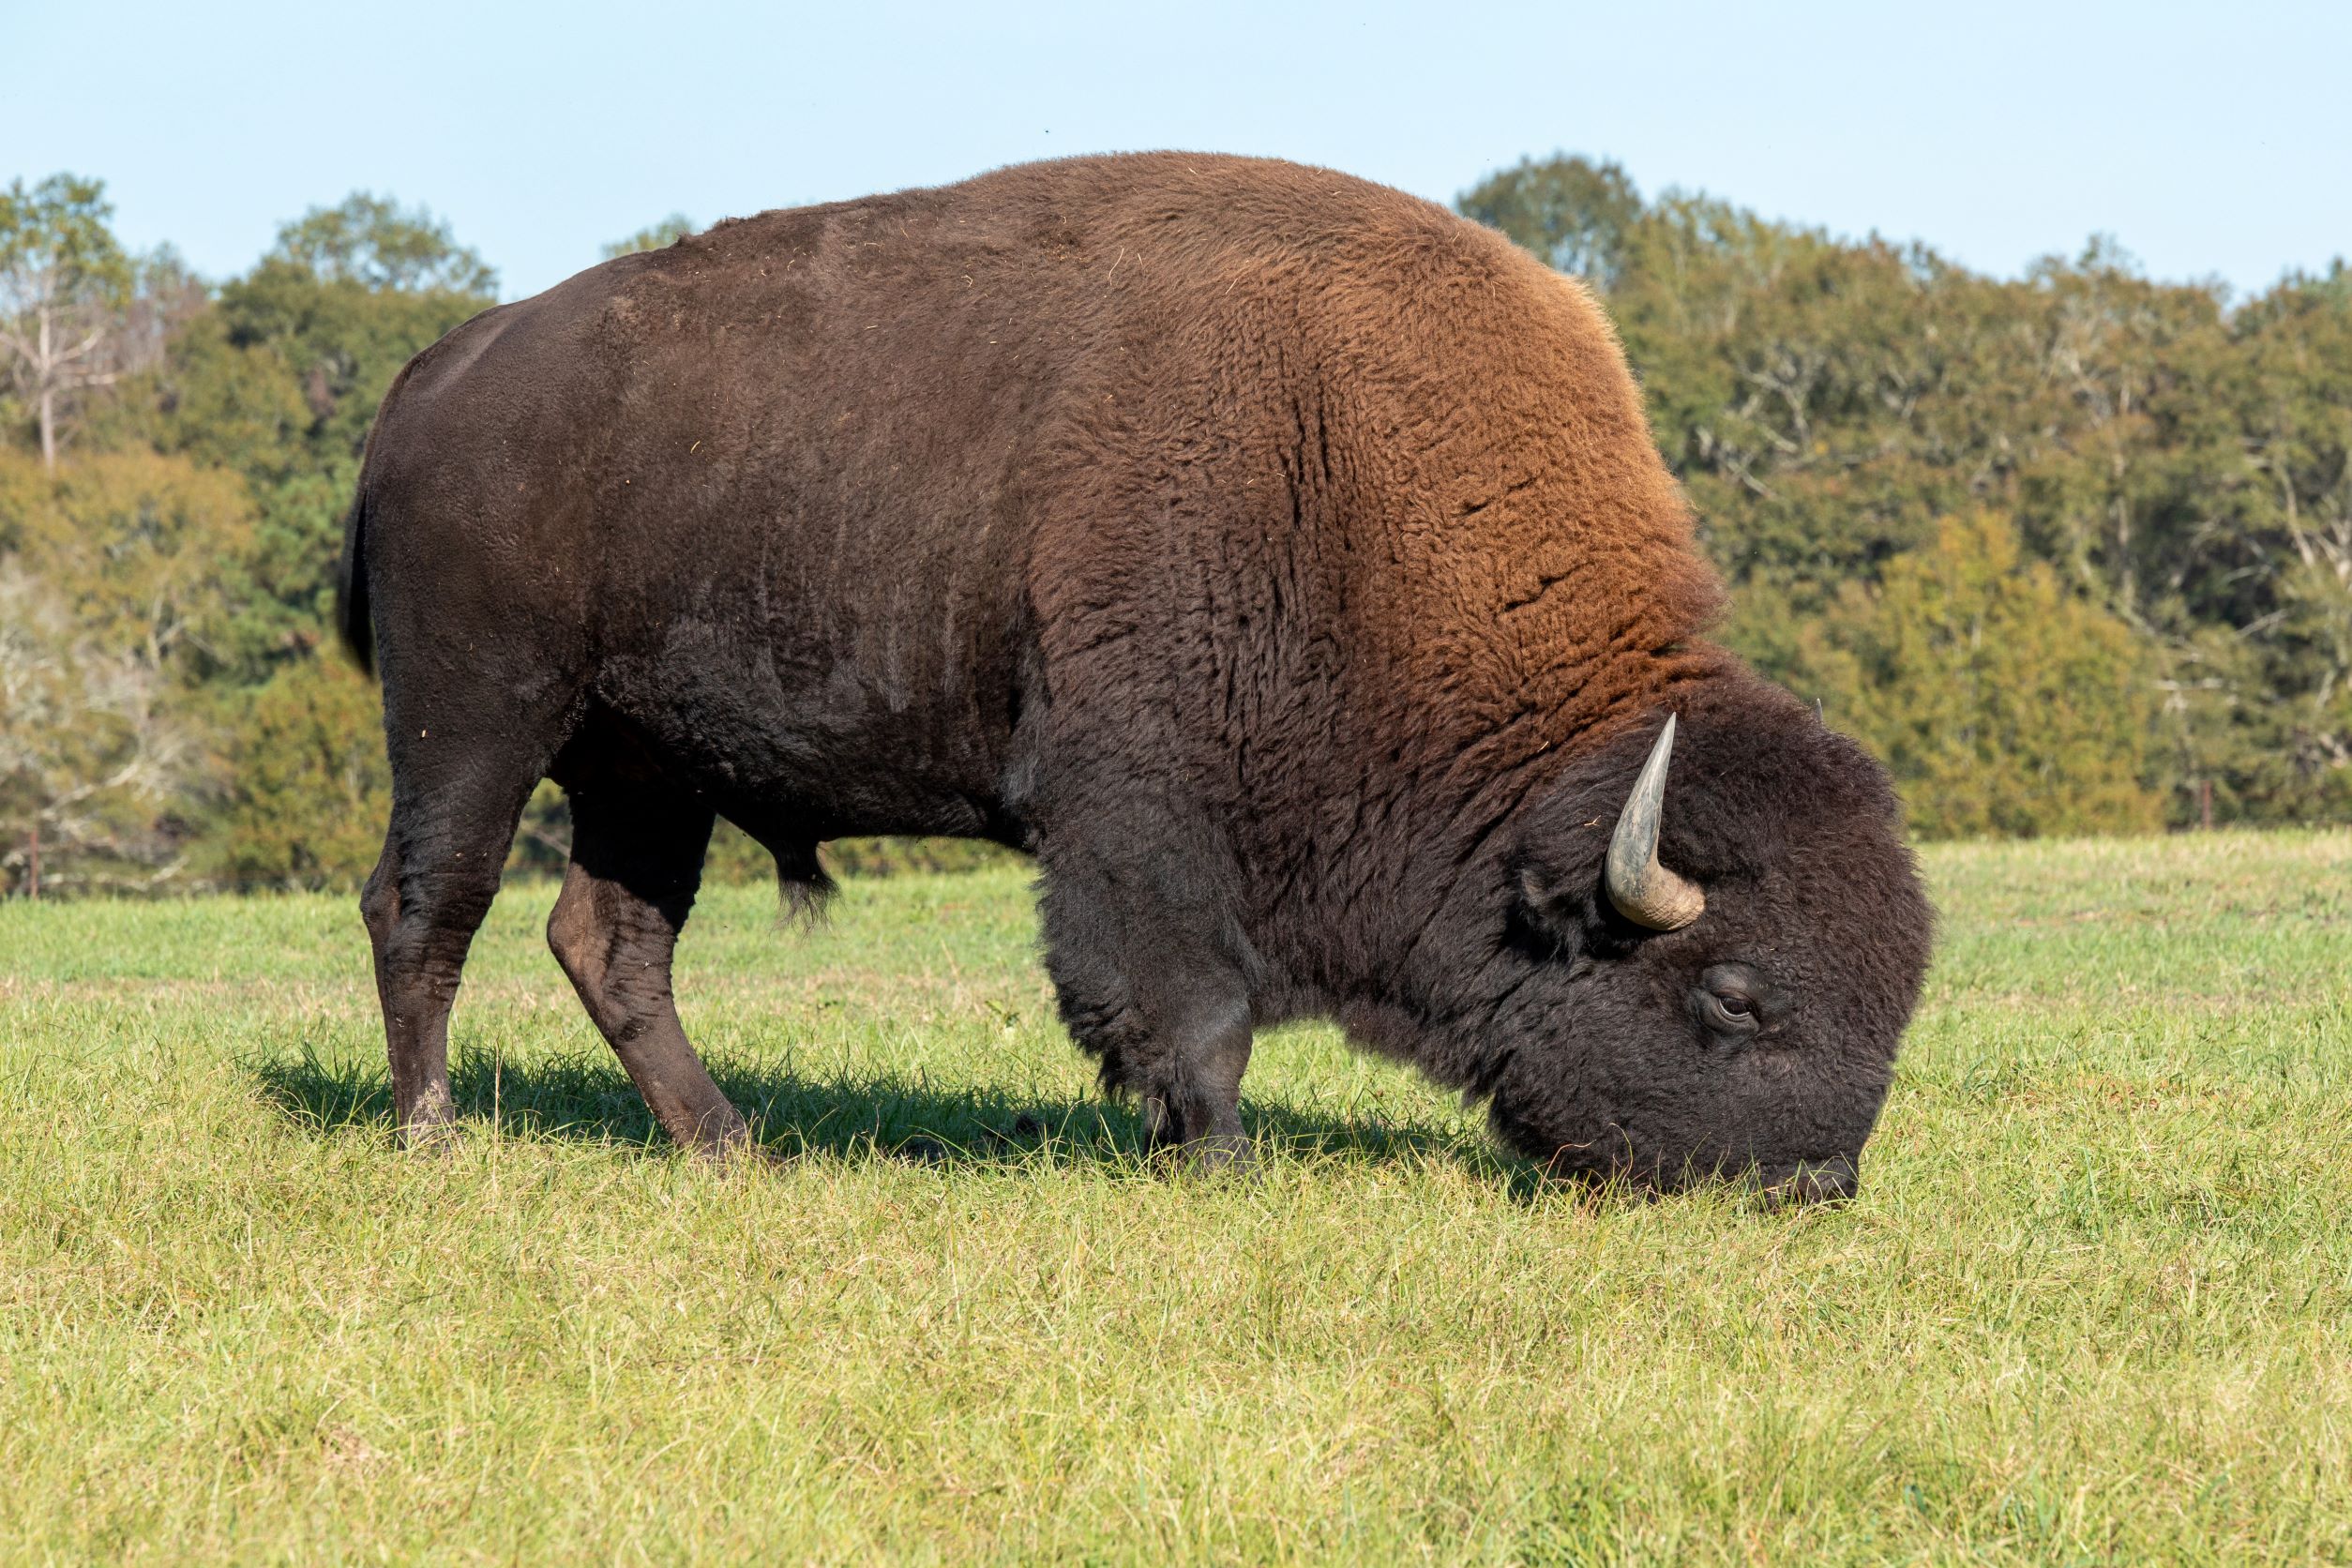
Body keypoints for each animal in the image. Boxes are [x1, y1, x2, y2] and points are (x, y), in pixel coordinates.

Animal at [337, 153, 1931, 1203]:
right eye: (1734, 997)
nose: (1815, 1186)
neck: (1361, 484)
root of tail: (440, 370)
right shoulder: (1140, 824)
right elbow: (1182, 1009)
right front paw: (1220, 1161)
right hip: (479, 717)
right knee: (428, 903)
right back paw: (435, 1139)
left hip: (645, 765)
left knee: (610, 941)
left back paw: (730, 1147)